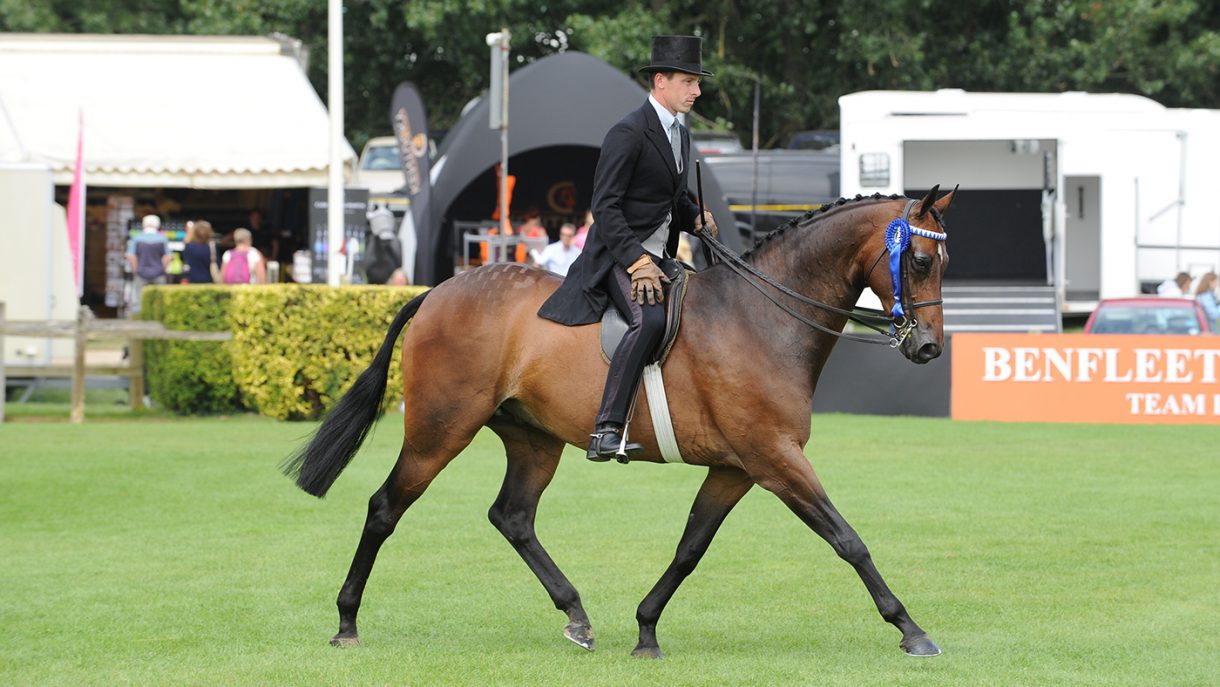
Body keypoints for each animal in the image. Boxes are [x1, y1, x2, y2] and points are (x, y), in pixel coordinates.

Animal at [283, 187, 957, 658]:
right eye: (922, 261)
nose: (927, 347)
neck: (762, 317)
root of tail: (437, 291)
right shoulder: (775, 458)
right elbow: (847, 539)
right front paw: (911, 629)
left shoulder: (736, 468)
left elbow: (690, 548)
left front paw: (646, 628)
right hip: (439, 430)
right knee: (385, 508)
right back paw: (346, 621)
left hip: (533, 439)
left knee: (512, 517)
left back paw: (577, 616)